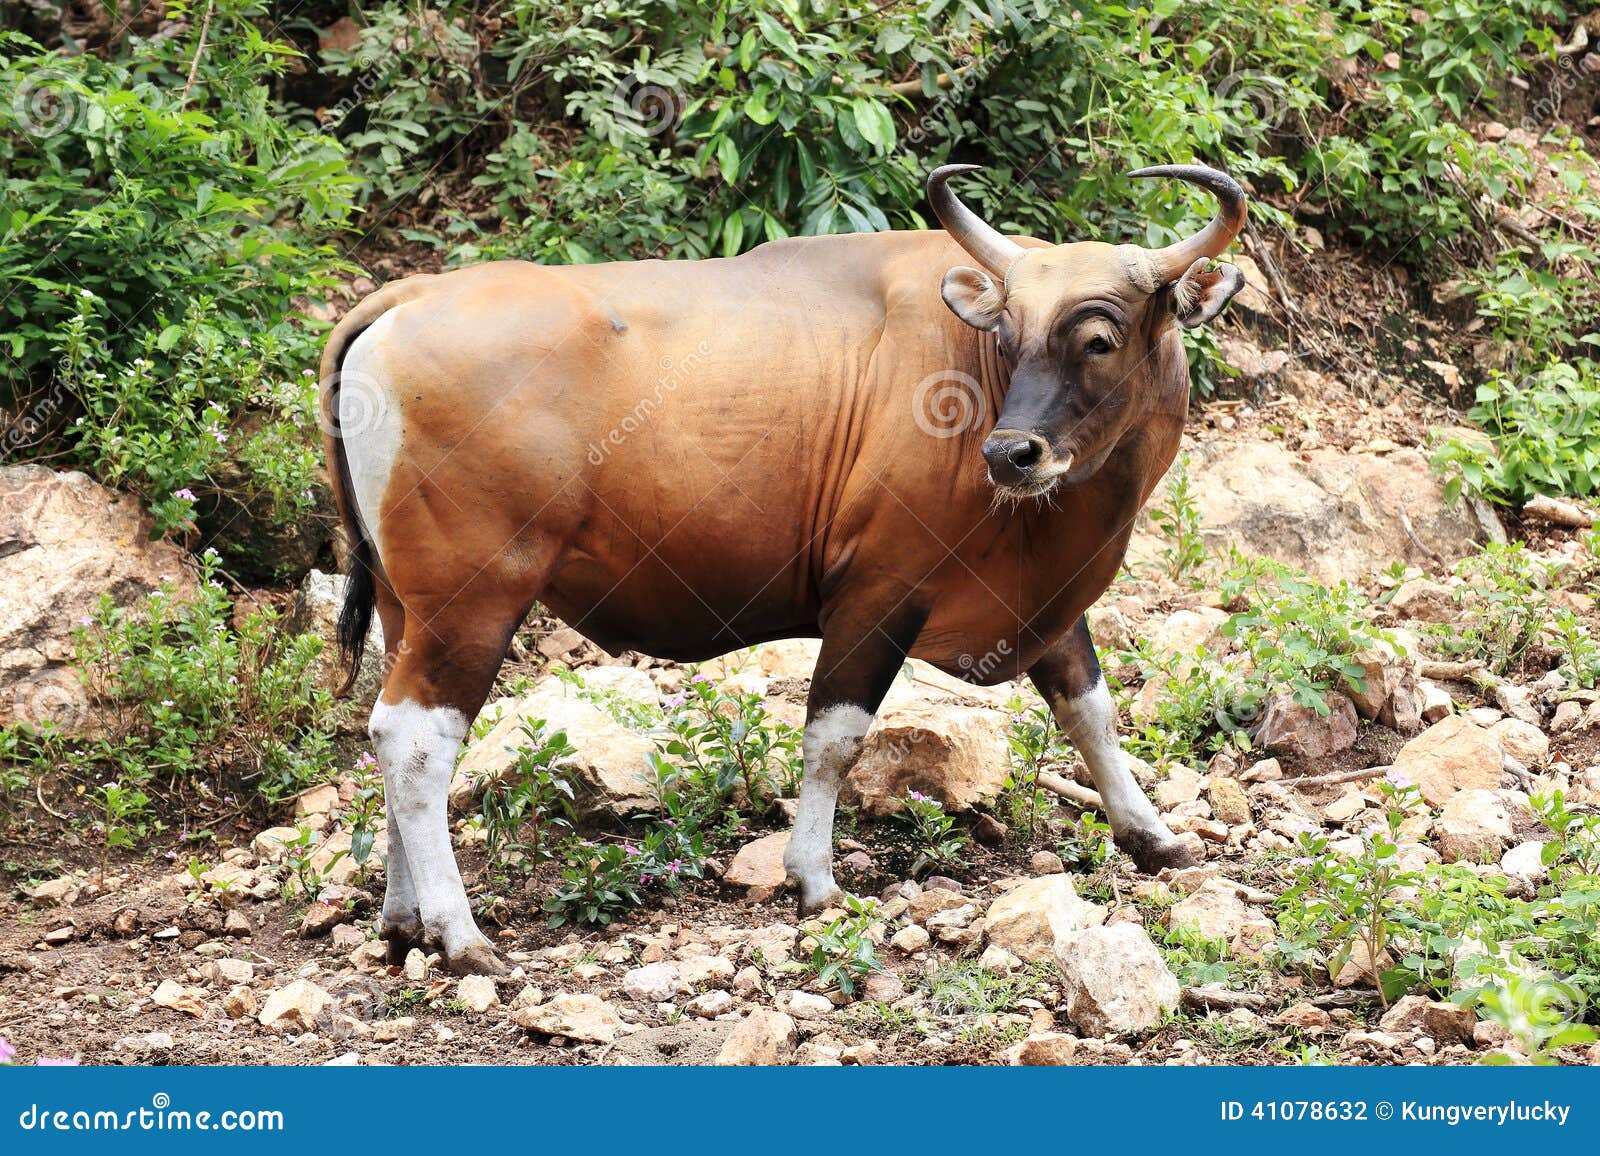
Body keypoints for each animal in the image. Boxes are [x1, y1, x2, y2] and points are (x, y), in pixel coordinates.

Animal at [318, 163, 1248, 974]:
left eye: (1098, 337)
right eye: (1008, 337)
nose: (1011, 454)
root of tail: (408, 297)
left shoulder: (1043, 601)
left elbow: (1090, 710)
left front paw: (1153, 836)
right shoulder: (879, 593)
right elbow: (835, 738)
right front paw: (815, 879)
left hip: (406, 603)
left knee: (388, 732)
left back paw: (402, 918)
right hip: (473, 598)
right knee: (416, 739)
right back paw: (458, 932)